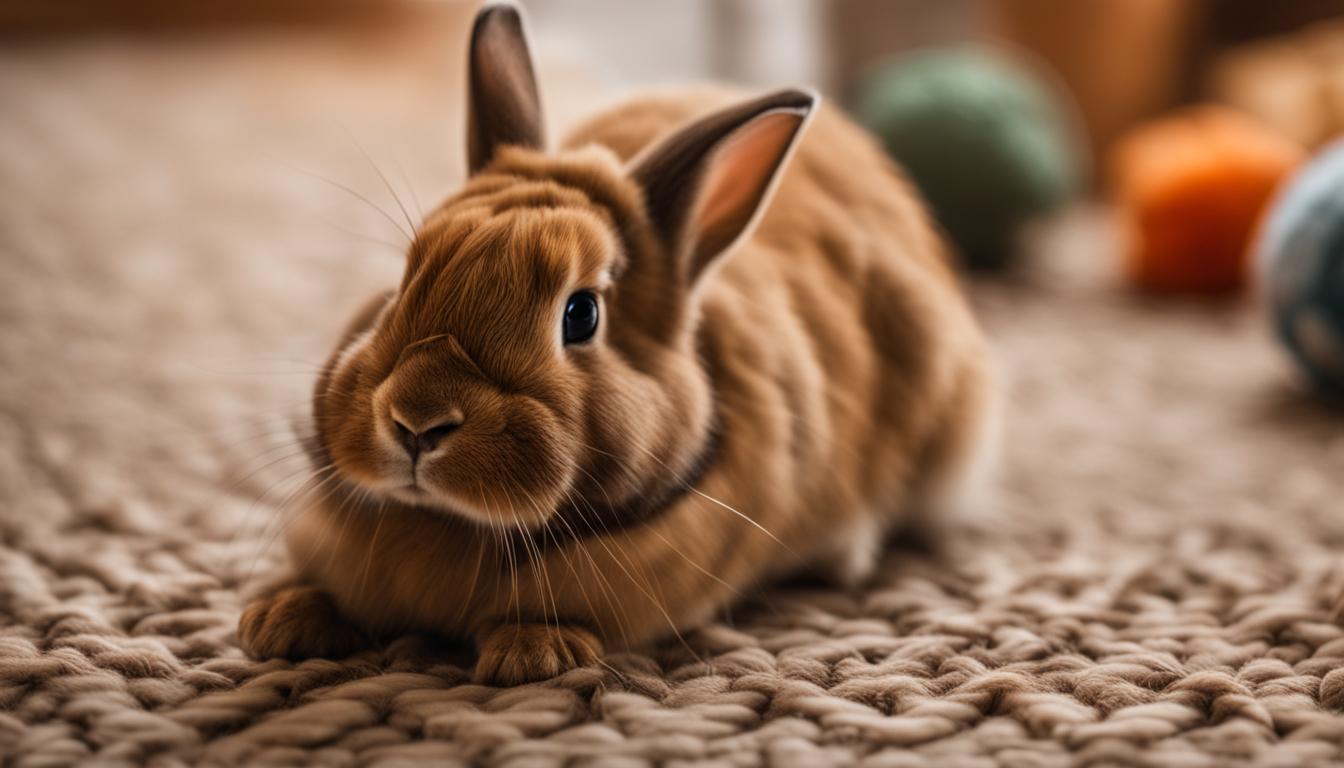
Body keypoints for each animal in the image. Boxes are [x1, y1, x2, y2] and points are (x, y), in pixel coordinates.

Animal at [238, 2, 995, 686]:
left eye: (581, 315)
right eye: (402, 278)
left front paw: (533, 653)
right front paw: (278, 622)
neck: (451, 525)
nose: (417, 422)